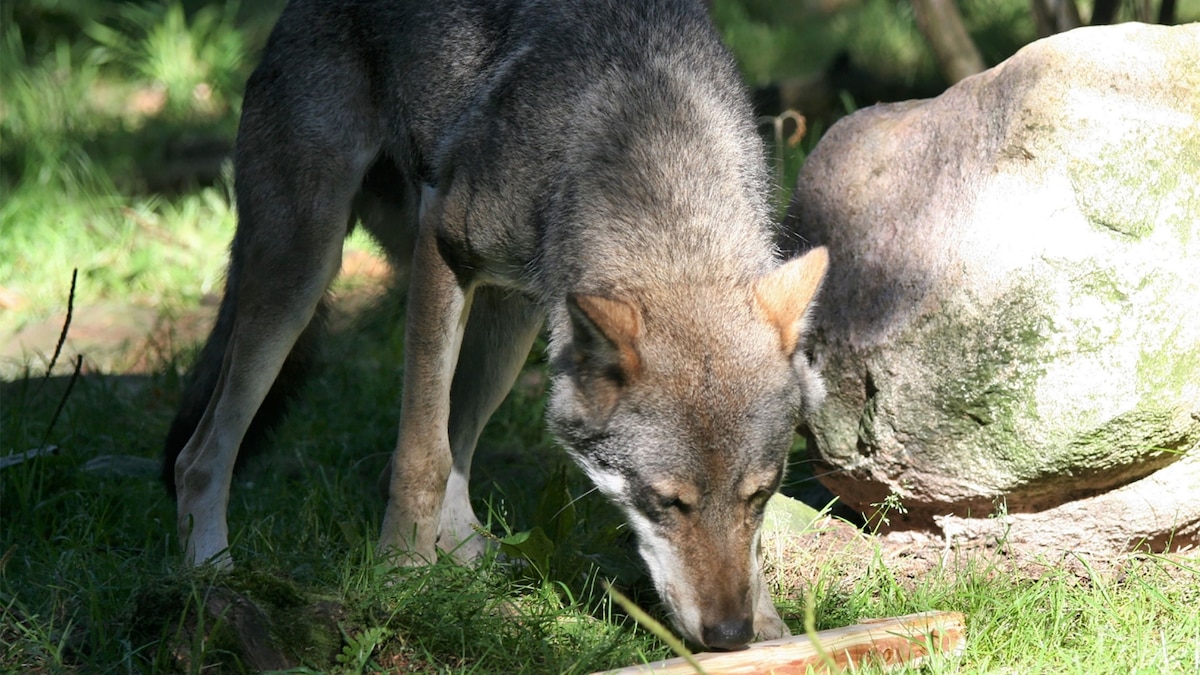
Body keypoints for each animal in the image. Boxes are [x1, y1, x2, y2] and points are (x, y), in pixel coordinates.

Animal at [163, 0, 828, 650]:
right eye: (667, 501)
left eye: (759, 495)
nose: (730, 636)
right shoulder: (443, 249)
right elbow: (421, 457)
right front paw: (399, 577)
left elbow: (445, 453)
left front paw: (771, 621)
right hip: (303, 272)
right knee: (200, 455)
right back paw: (213, 576)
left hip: (511, 321)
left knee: (459, 444)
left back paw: (468, 561)